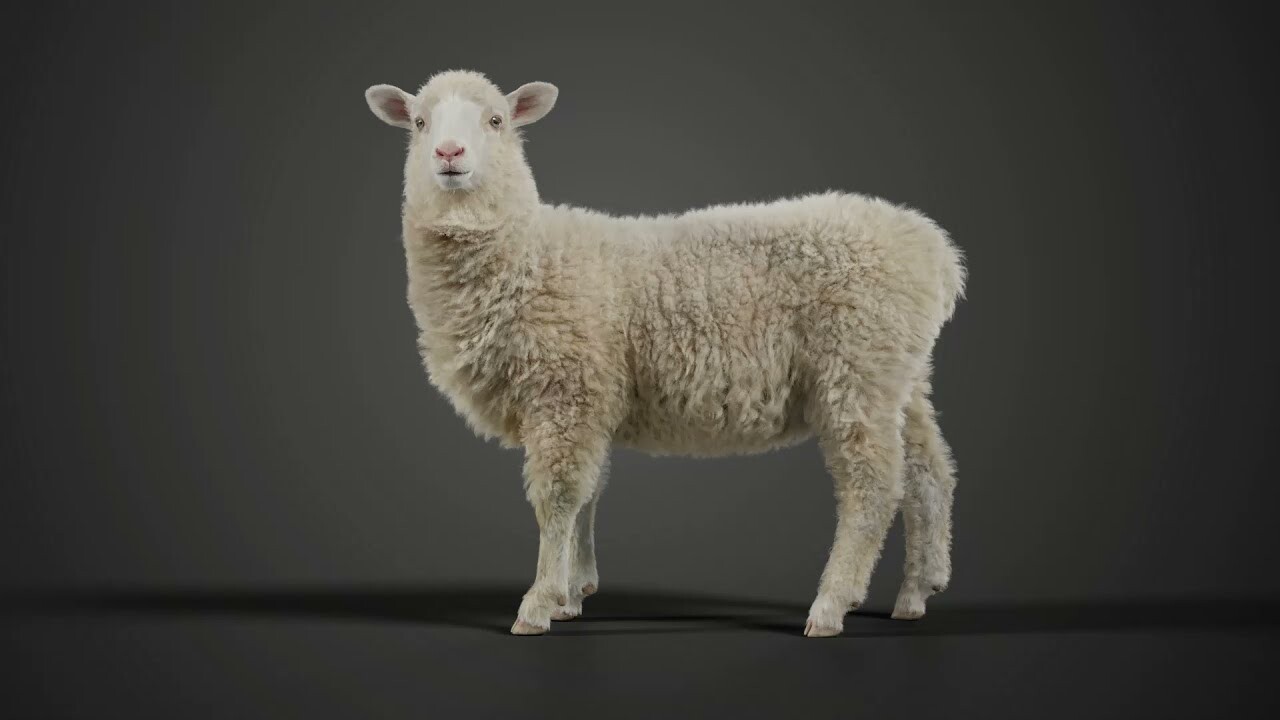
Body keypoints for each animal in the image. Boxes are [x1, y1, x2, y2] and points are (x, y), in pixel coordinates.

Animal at [364, 70, 965, 637]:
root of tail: (935, 251)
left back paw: (831, 603)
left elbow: (559, 496)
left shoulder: (566, 388)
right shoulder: (593, 398)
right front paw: (573, 594)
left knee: (872, 484)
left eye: (495, 121)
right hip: (902, 372)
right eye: (419, 123)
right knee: (929, 471)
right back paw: (918, 589)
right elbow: (589, 493)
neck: (529, 256)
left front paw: (538, 602)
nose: (448, 154)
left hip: (857, 363)